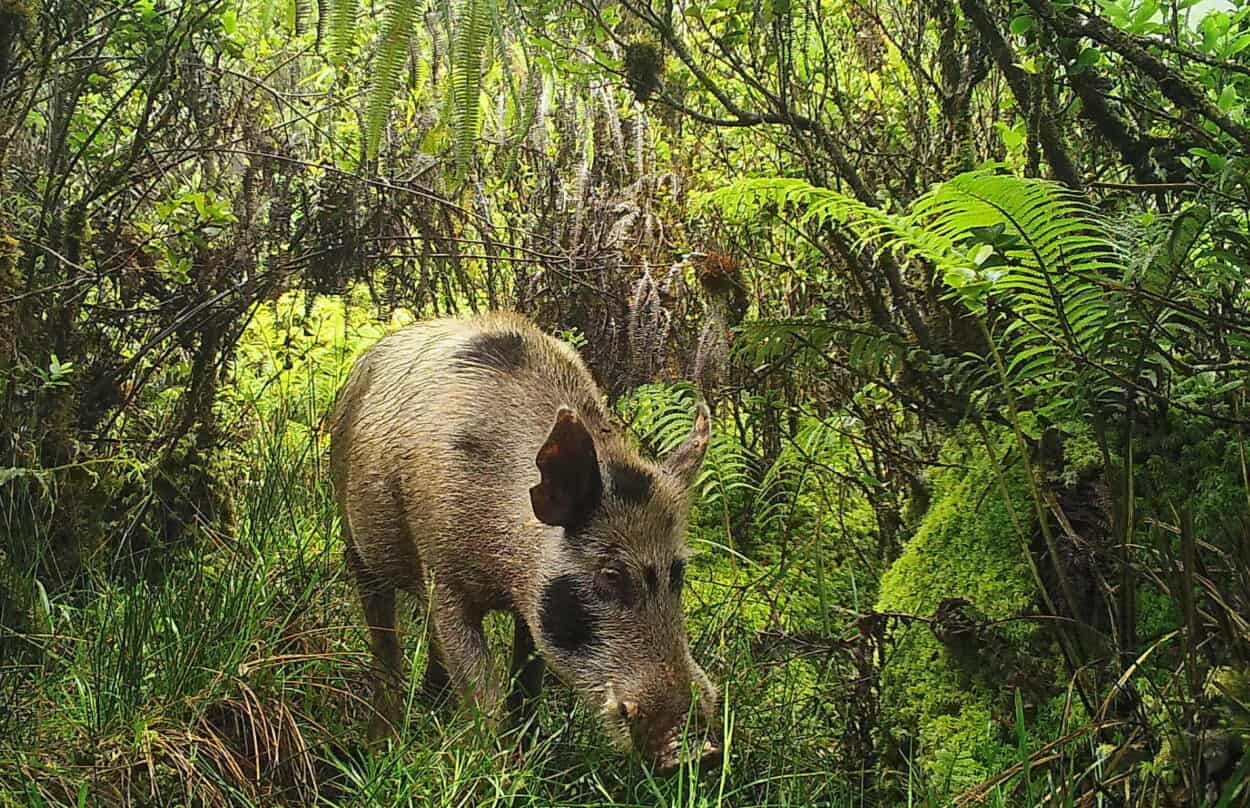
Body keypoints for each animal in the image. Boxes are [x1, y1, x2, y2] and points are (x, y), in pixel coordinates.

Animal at [329, 312, 722, 774]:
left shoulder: (531, 605)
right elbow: (482, 690)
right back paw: (381, 743)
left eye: (679, 572)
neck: (504, 564)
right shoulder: (444, 576)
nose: (701, 751)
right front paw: (498, 769)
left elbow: (527, 681)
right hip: (351, 531)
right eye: (611, 574)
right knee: (384, 636)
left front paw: (528, 755)